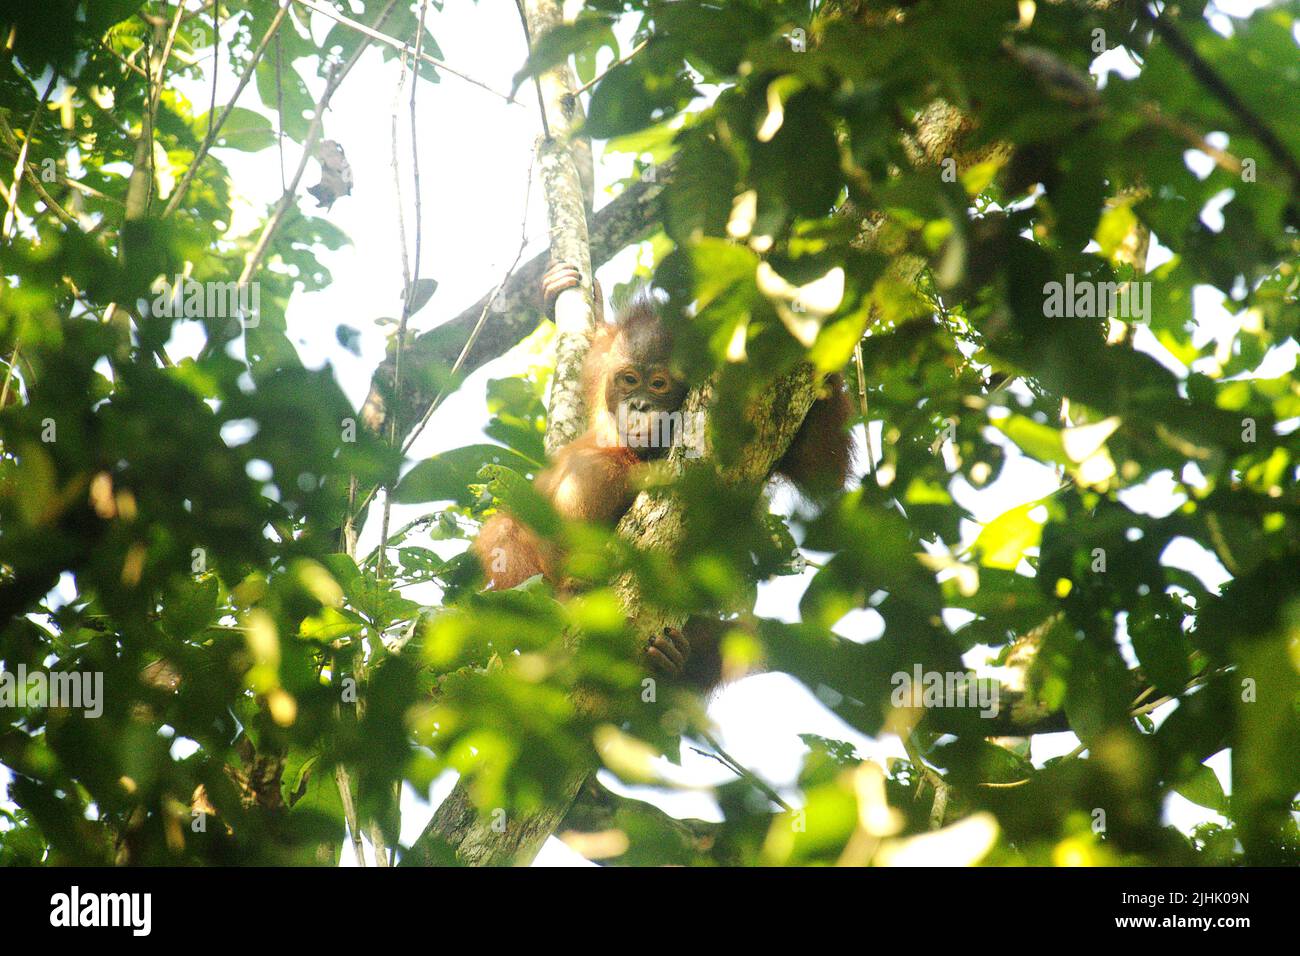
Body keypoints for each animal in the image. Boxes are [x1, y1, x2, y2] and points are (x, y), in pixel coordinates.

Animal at [472, 261, 854, 688]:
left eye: (658, 384)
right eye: (629, 380)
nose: (639, 405)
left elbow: (822, 469)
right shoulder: (603, 370)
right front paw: (564, 293)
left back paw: (671, 657)